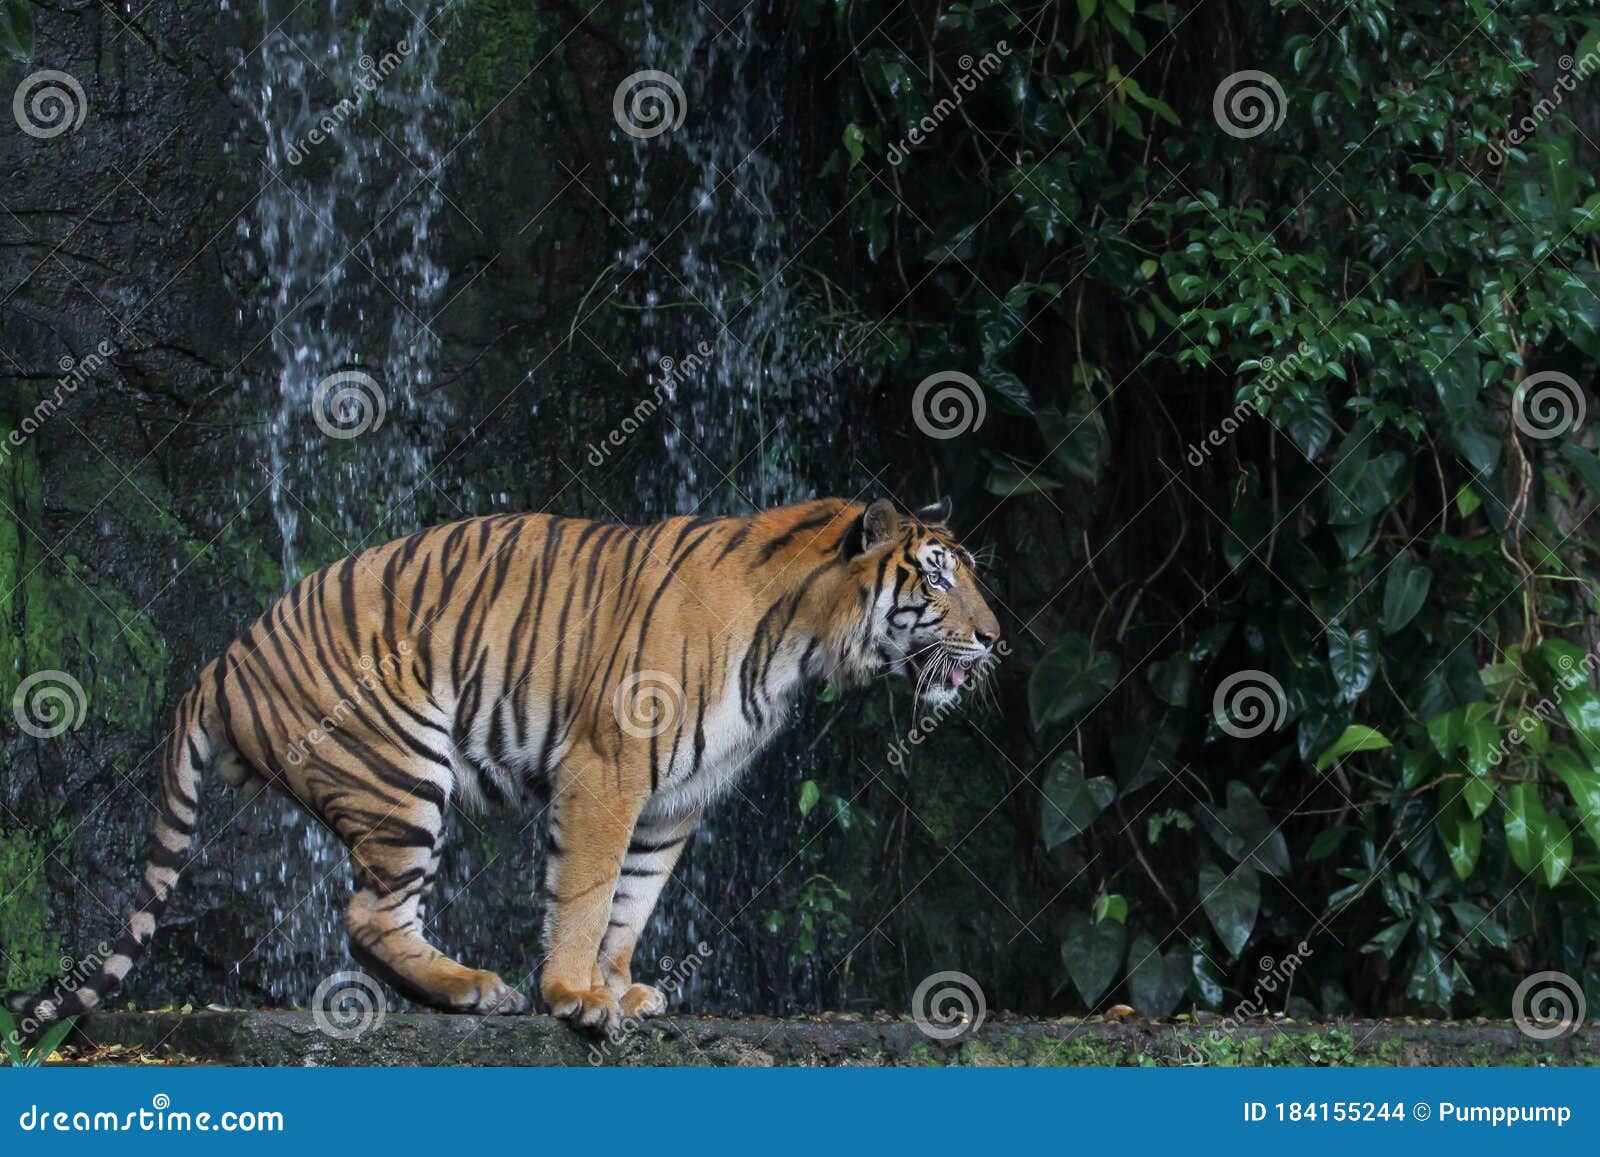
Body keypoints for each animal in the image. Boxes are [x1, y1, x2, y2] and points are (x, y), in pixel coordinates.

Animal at [9, 495, 999, 1033]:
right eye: (937, 577)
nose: (996, 637)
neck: (802, 640)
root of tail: (221, 658)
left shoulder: (674, 799)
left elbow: (633, 901)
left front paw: (618, 987)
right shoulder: (609, 763)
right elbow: (587, 890)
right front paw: (573, 994)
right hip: (402, 766)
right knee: (367, 915)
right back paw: (473, 987)